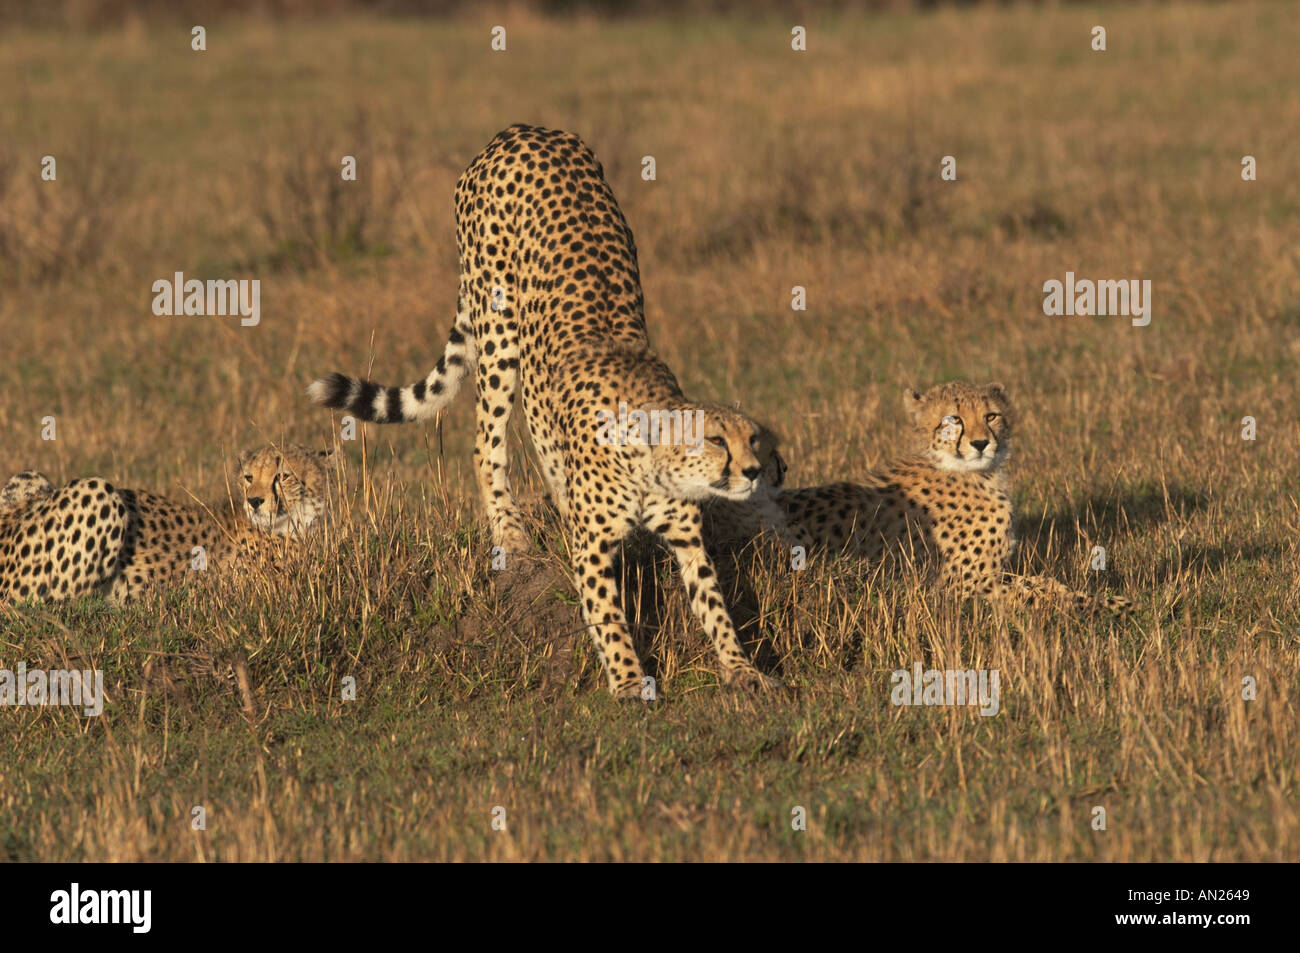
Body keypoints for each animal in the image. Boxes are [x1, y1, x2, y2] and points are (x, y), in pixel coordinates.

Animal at [308, 123, 781, 698]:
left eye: (752, 439)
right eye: (715, 441)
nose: (754, 472)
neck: (651, 459)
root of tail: (523, 131)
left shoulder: (689, 541)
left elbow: (713, 606)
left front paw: (742, 669)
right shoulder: (594, 547)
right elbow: (608, 617)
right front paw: (629, 682)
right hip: (499, 330)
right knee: (486, 442)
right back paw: (511, 535)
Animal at [710, 381, 1133, 617]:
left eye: (991, 416)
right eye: (953, 419)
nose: (982, 443)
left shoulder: (987, 572)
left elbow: (1039, 583)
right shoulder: (959, 584)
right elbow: (1036, 596)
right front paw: (1108, 604)